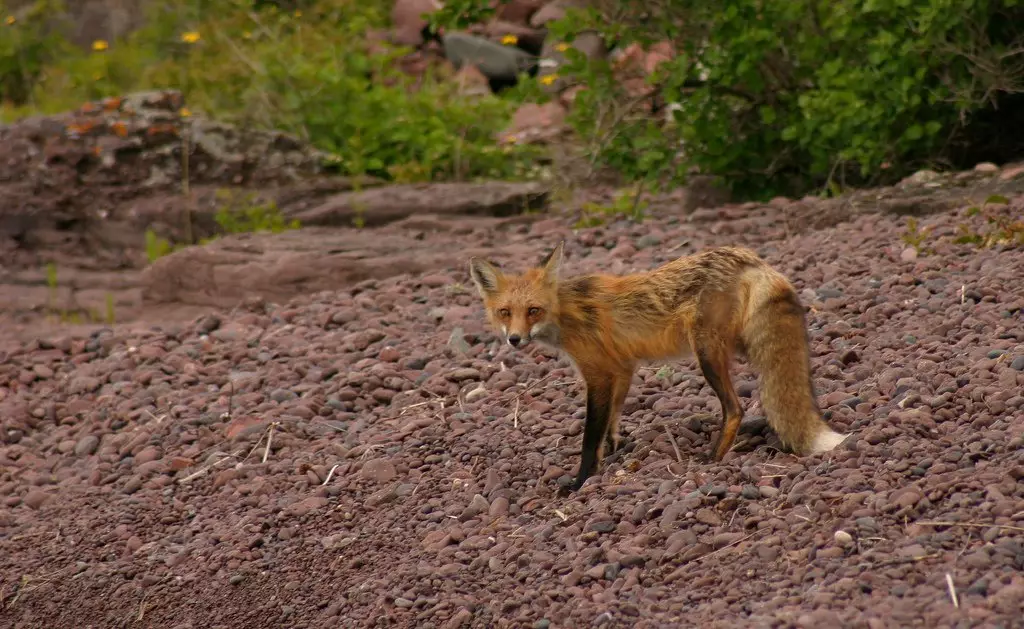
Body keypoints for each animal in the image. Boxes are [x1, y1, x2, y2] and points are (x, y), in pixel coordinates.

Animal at [468, 241, 847, 493]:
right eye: (505, 312)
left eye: (533, 310)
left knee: (735, 408)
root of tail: (749, 258)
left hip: (707, 353)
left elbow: (591, 435)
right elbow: (613, 422)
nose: (514, 339)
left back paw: (712, 457)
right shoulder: (623, 368)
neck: (565, 312)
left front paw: (581, 480)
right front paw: (614, 452)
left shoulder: (598, 374)